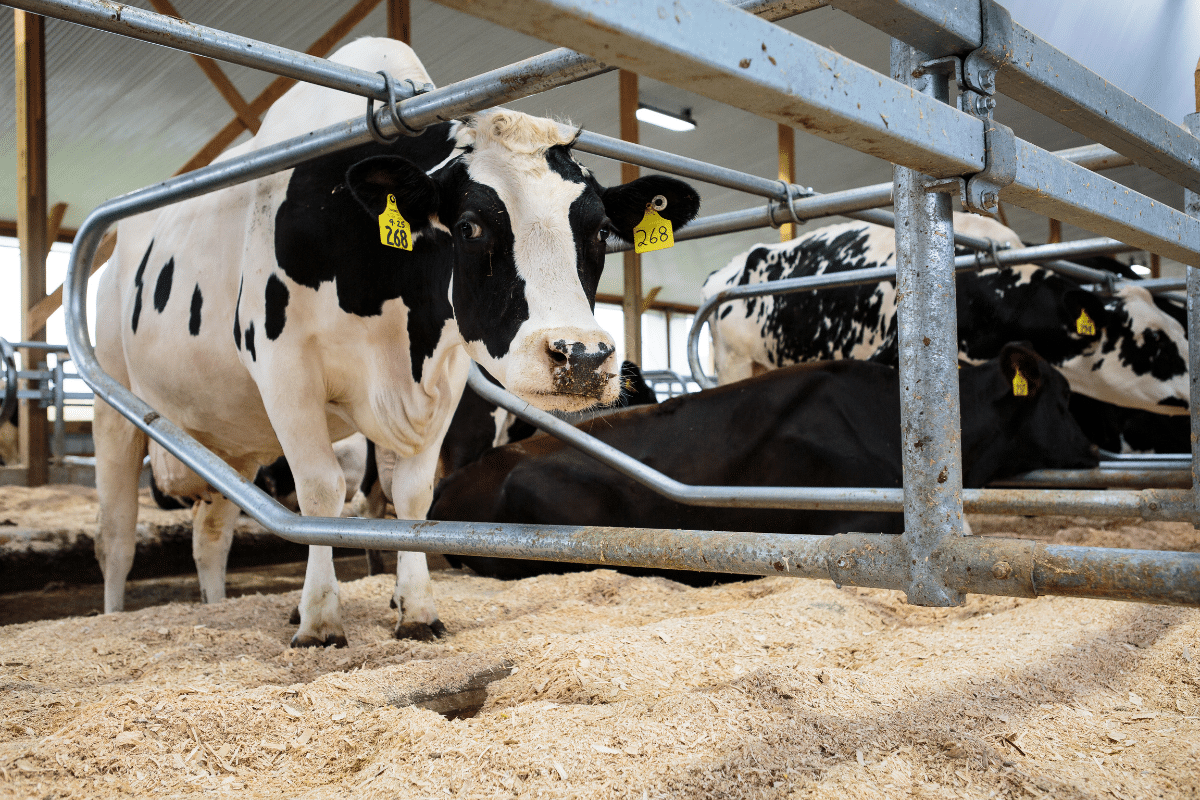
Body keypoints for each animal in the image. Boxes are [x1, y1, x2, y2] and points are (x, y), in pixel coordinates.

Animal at [93, 37, 700, 646]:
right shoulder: (284, 369)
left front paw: (417, 609)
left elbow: (411, 494)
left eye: (599, 231)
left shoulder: (444, 381)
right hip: (115, 405)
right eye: (471, 226)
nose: (583, 356)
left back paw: (215, 605)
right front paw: (319, 620)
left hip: (230, 438)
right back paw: (112, 616)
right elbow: (320, 493)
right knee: (117, 535)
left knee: (211, 533)